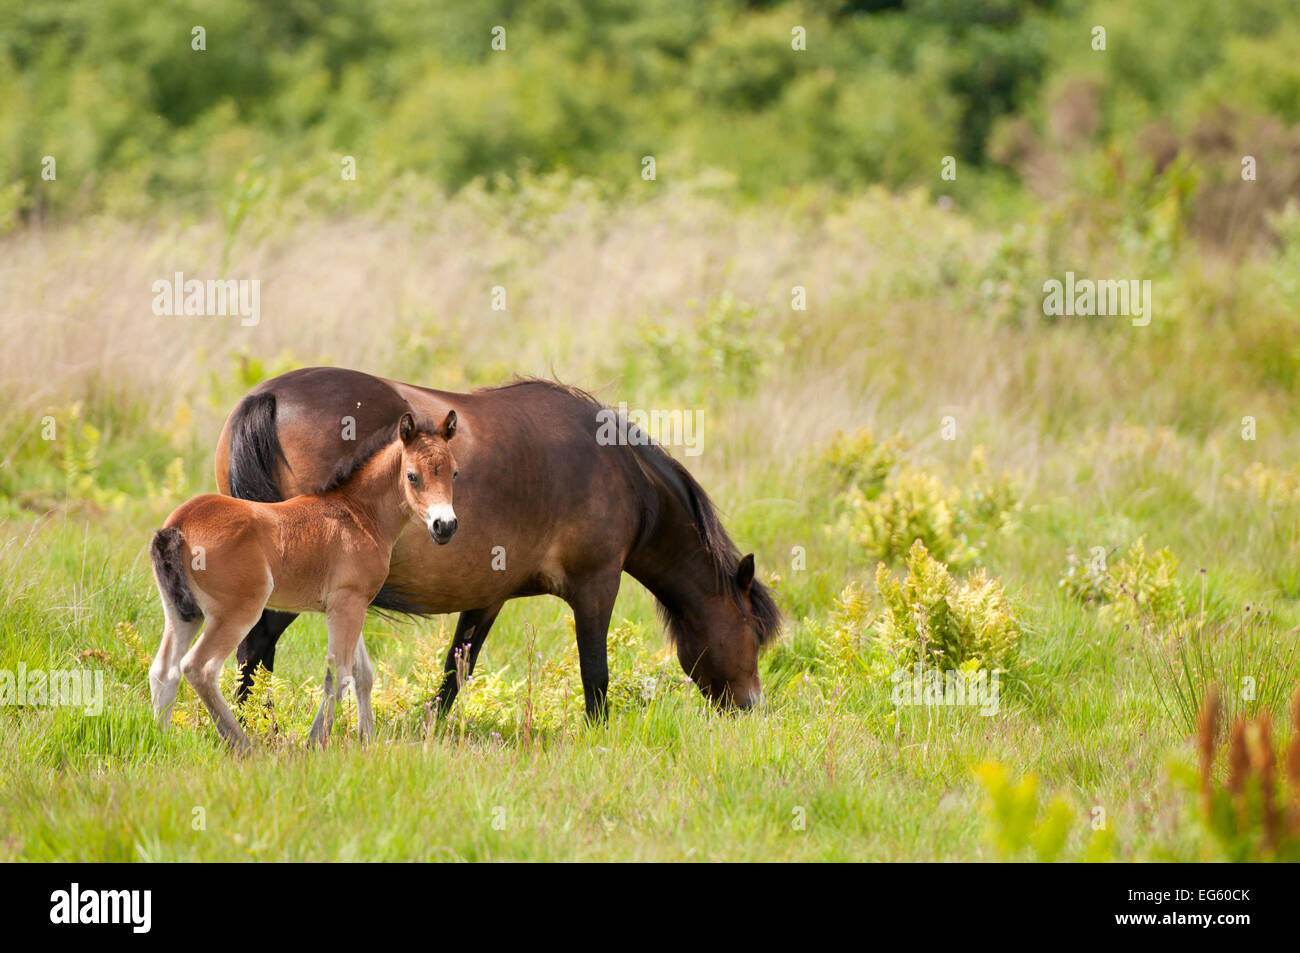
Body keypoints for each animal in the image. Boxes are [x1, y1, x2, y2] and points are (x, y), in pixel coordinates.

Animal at [149, 409, 459, 750]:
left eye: (454, 473)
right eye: (412, 476)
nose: (445, 526)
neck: (358, 514)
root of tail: (178, 525)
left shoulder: (353, 604)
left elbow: (362, 673)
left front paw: (367, 740)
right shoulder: (347, 603)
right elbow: (339, 674)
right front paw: (316, 743)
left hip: (182, 612)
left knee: (164, 669)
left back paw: (161, 738)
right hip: (236, 612)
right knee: (198, 667)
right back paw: (244, 745)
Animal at [214, 366, 781, 716]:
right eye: (755, 633)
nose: (754, 707)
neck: (622, 473)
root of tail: (268, 398)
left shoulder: (486, 597)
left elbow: (453, 676)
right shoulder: (596, 588)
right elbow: (596, 677)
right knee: (255, 647)